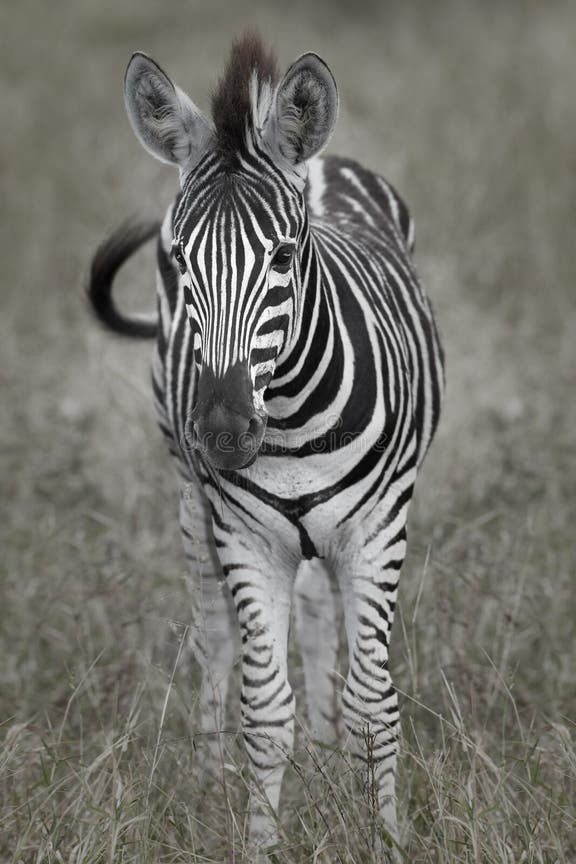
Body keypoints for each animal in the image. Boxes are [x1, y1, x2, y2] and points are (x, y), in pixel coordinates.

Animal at [89, 33, 444, 860]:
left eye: (283, 258)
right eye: (180, 262)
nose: (222, 433)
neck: (294, 417)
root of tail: (315, 154)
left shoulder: (377, 531)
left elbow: (374, 701)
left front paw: (383, 836)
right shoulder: (245, 536)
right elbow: (265, 709)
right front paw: (259, 837)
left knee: (316, 619)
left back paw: (329, 756)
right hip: (192, 503)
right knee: (215, 636)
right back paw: (209, 777)